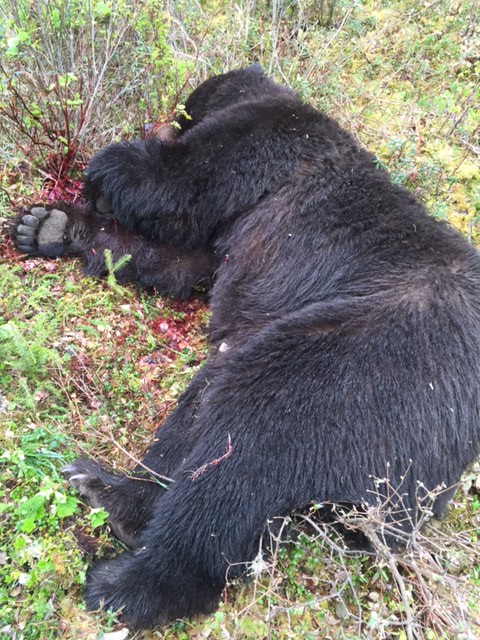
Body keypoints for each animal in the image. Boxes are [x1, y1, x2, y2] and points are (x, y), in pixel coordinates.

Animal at [15, 65, 480, 629]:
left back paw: (124, 579)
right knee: (203, 408)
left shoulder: (266, 140)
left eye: (182, 110)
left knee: (251, 435)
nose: (158, 121)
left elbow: (179, 185)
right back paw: (115, 491)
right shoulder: (231, 234)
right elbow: (180, 262)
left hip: (368, 362)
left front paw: (104, 176)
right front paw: (48, 225)